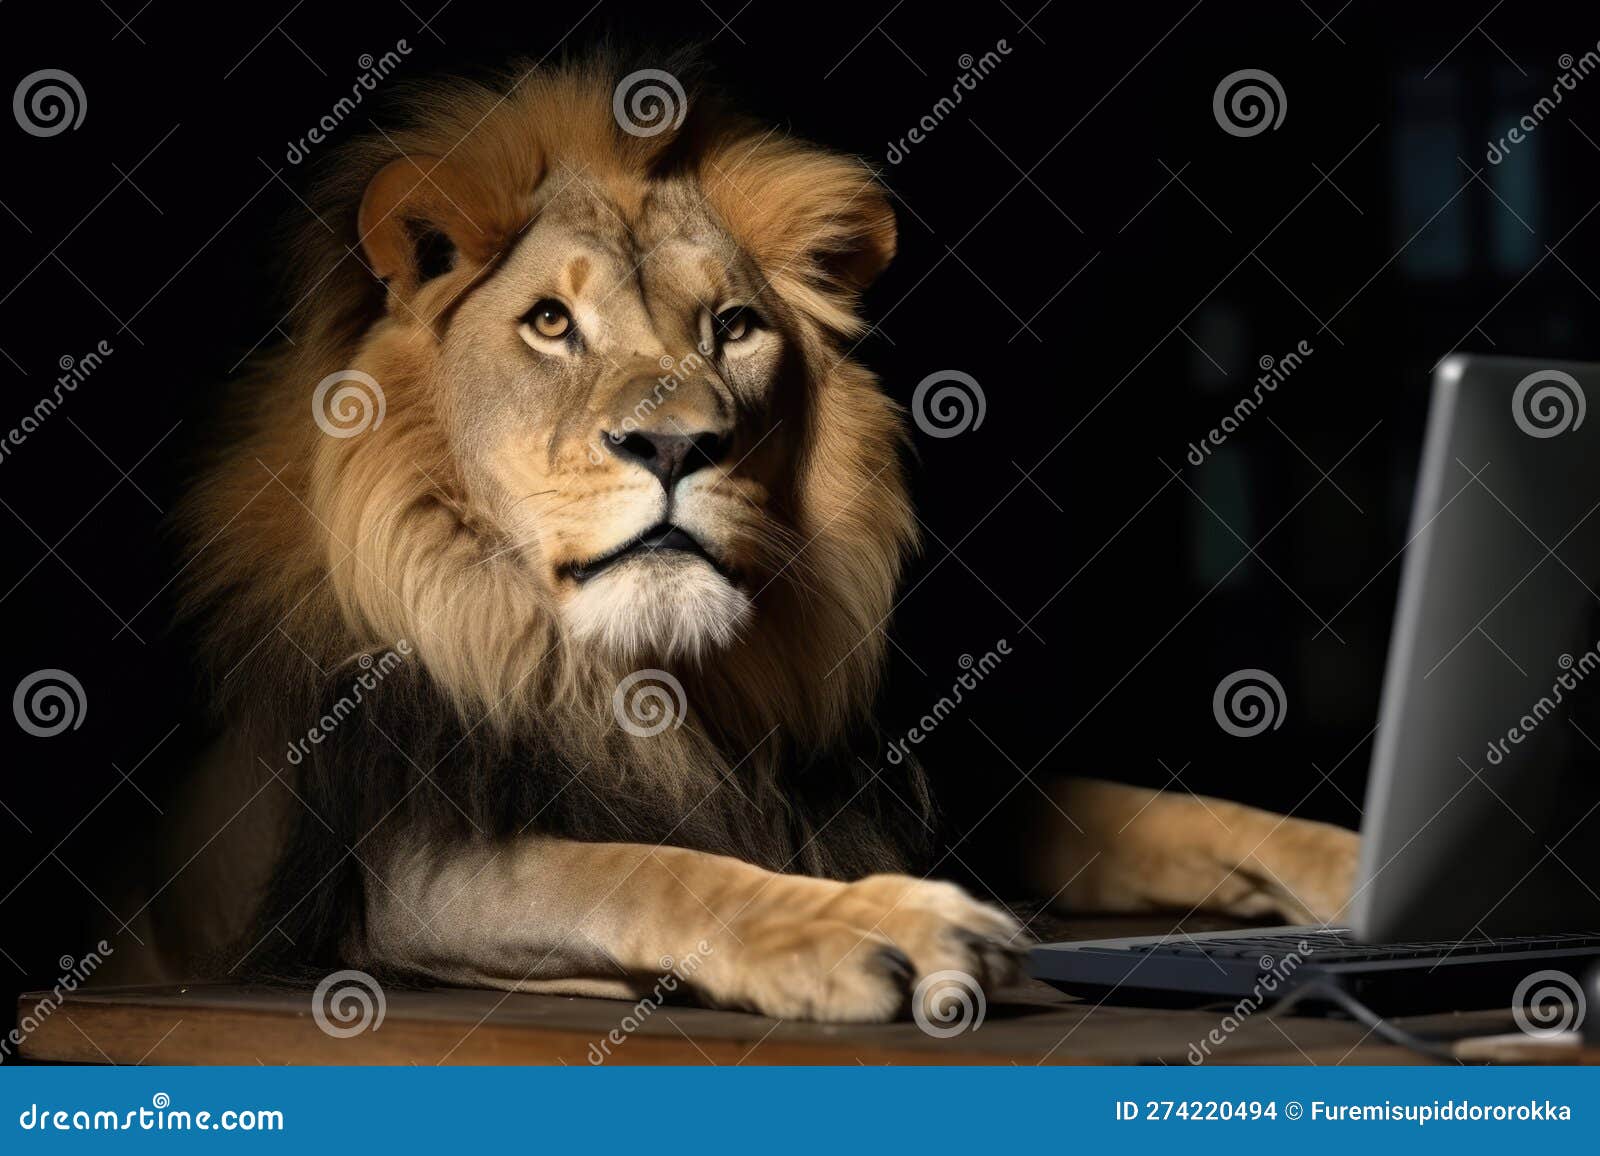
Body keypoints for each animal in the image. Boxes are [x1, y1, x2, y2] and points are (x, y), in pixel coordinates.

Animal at [134, 53, 1357, 1022]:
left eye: (732, 327)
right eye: (549, 323)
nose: (675, 445)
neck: (649, 677)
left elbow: (1171, 812)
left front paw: (1367, 865)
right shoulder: (406, 879)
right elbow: (650, 868)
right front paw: (877, 929)